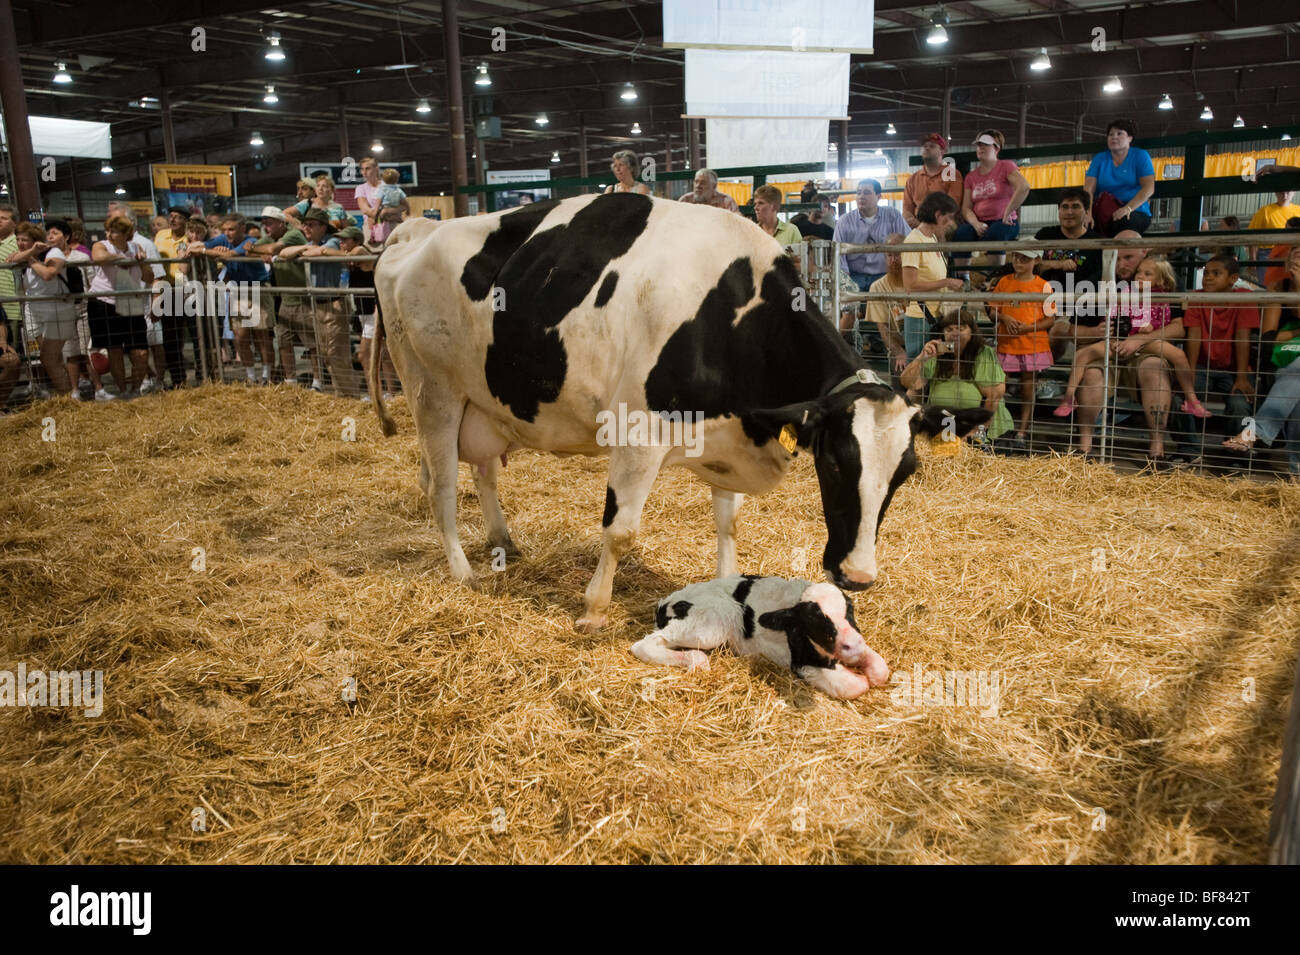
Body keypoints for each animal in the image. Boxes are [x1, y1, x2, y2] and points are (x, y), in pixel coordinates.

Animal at [371, 194, 988, 630]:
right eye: (834, 463)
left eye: (905, 473)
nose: (858, 577)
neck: (728, 315)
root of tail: (417, 230)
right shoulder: (637, 433)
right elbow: (621, 530)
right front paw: (594, 610)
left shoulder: (728, 435)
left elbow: (728, 521)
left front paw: (727, 586)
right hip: (433, 391)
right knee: (441, 486)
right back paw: (463, 572)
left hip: (484, 401)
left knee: (484, 471)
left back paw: (503, 540)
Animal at [631, 575, 891, 700]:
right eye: (816, 619)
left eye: (850, 610)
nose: (852, 644)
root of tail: (666, 602)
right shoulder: (802, 662)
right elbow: (855, 685)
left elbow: (880, 669)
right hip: (712, 623)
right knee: (644, 644)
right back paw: (696, 660)